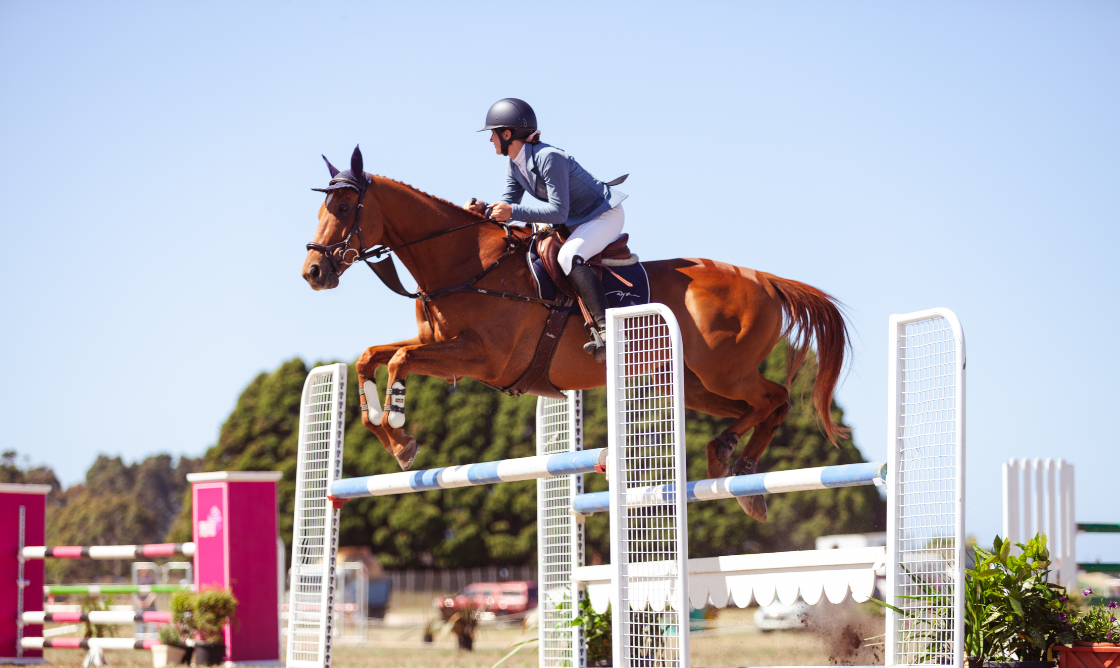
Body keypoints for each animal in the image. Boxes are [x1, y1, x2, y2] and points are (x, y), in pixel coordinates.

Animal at [301, 146, 849, 521]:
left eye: (345, 209)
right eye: (322, 209)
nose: (313, 273)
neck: (467, 265)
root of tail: (762, 279)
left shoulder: (481, 359)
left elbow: (396, 361)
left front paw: (398, 426)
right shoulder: (443, 349)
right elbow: (370, 356)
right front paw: (391, 435)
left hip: (724, 371)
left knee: (775, 397)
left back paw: (731, 460)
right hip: (696, 385)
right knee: (761, 406)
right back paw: (736, 467)